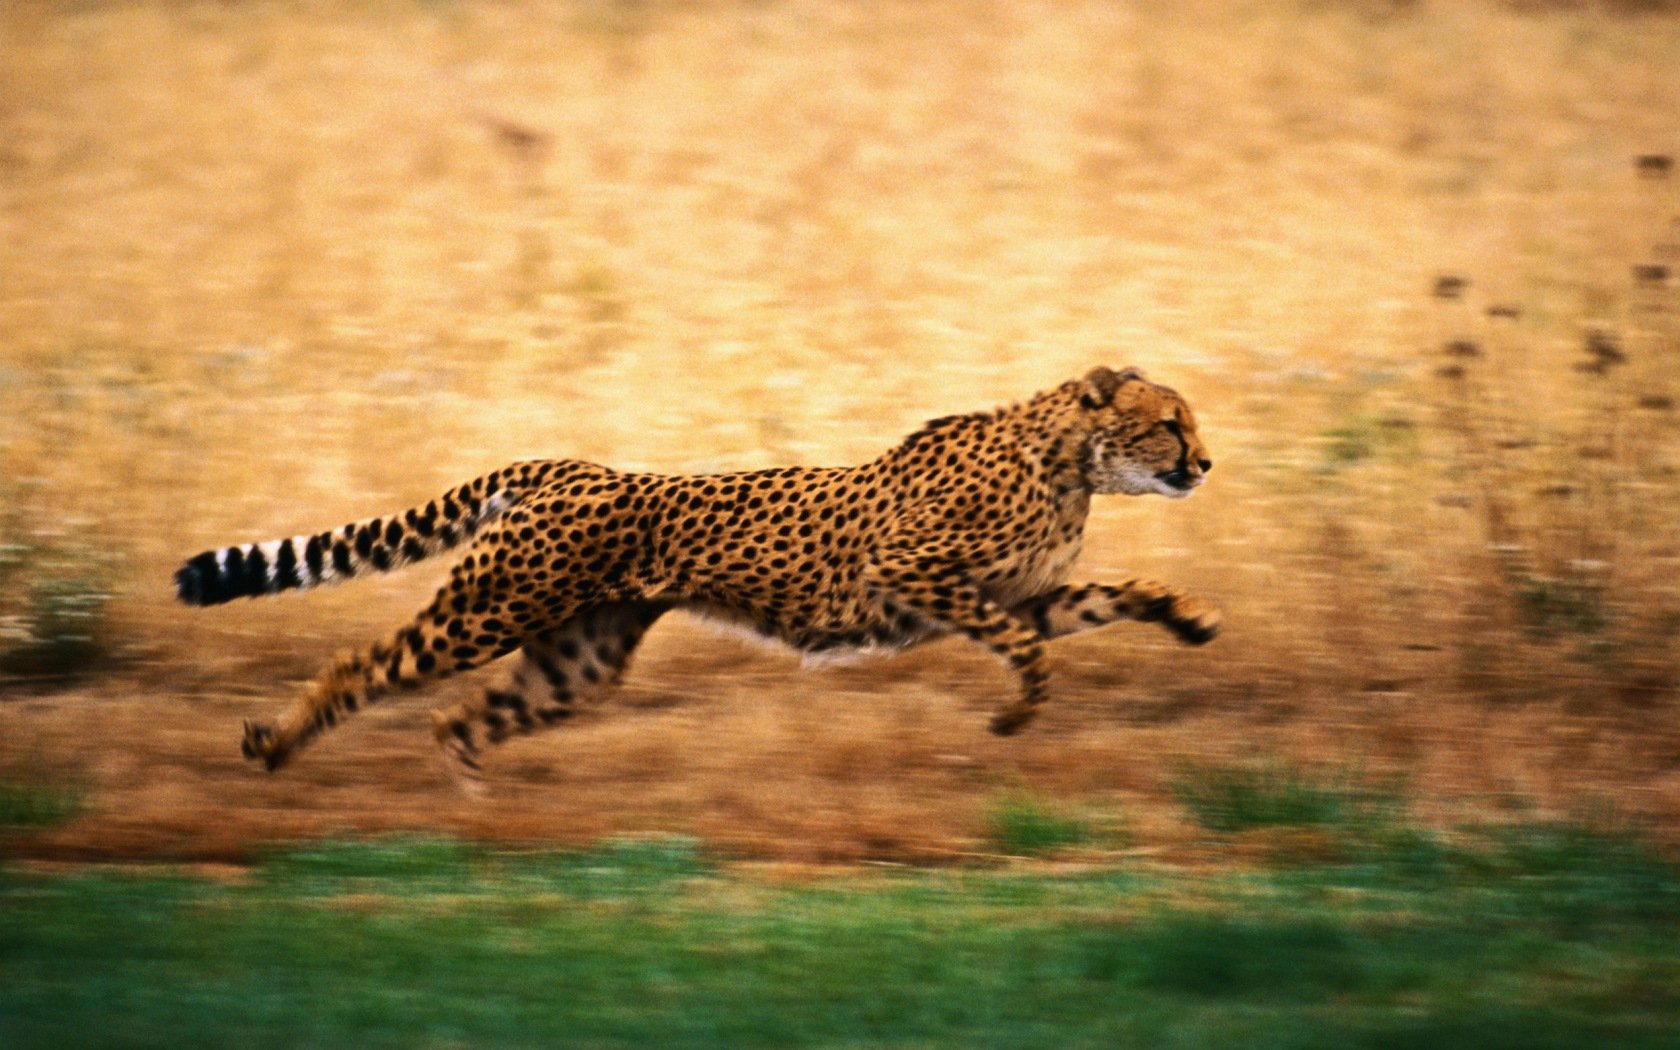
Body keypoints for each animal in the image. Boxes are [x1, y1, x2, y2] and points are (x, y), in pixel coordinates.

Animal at [175, 365, 1219, 784]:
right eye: (1170, 422)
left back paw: (473, 799)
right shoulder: (909, 573)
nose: (1206, 463)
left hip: (579, 658)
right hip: (488, 611)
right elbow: (1022, 650)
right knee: (366, 666)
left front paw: (1192, 618)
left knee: (459, 716)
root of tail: (568, 466)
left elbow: (1117, 596)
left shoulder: (1025, 594)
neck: (1070, 462)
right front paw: (1015, 714)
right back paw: (277, 746)